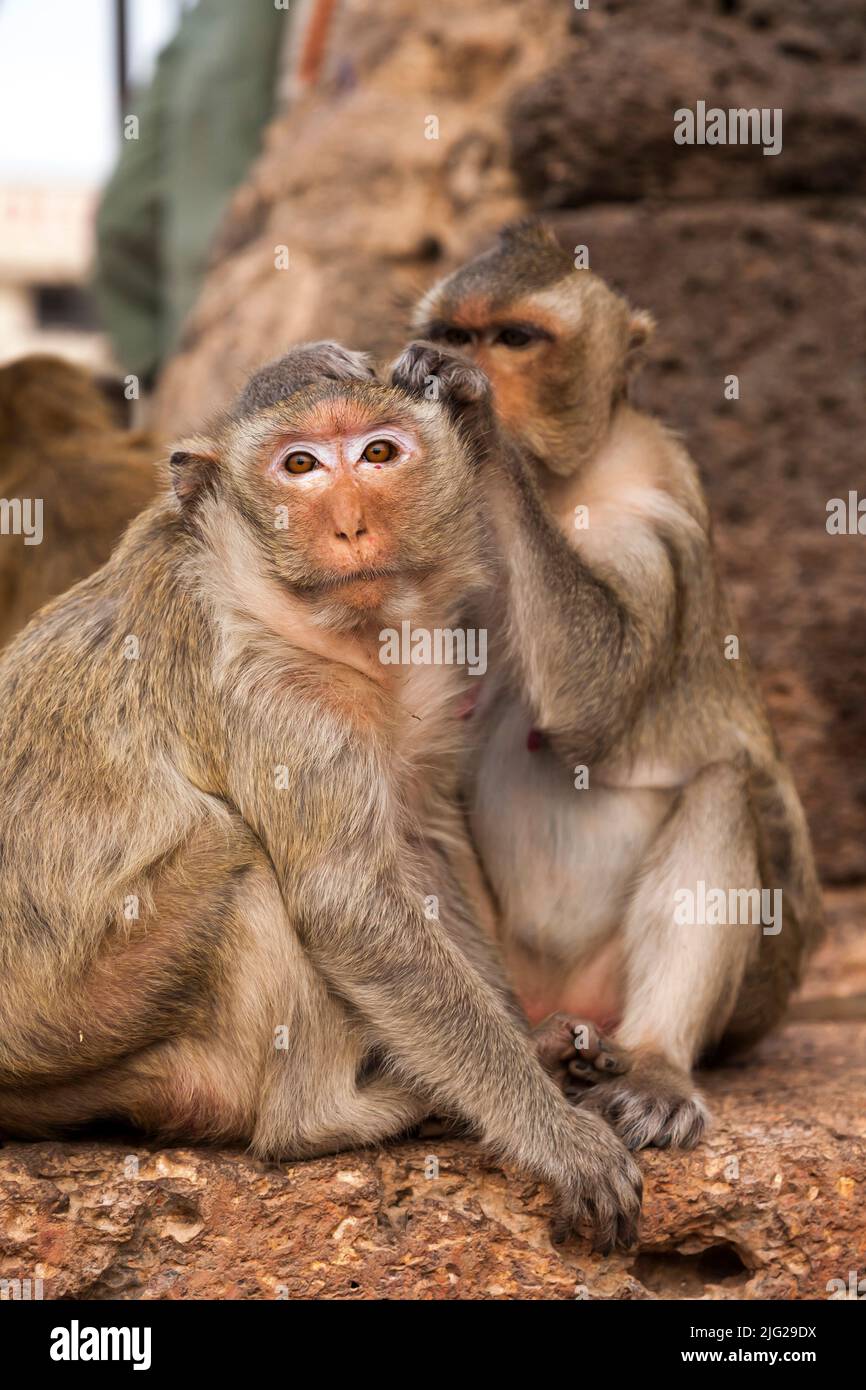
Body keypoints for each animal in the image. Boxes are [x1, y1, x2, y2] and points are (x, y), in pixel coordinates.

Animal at [394, 221, 824, 1151]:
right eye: (453, 331)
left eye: (515, 339)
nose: (467, 363)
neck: (561, 485)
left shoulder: (655, 506)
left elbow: (593, 702)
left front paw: (476, 418)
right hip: (515, 970)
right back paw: (522, 1055)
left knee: (728, 787)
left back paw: (655, 1065)